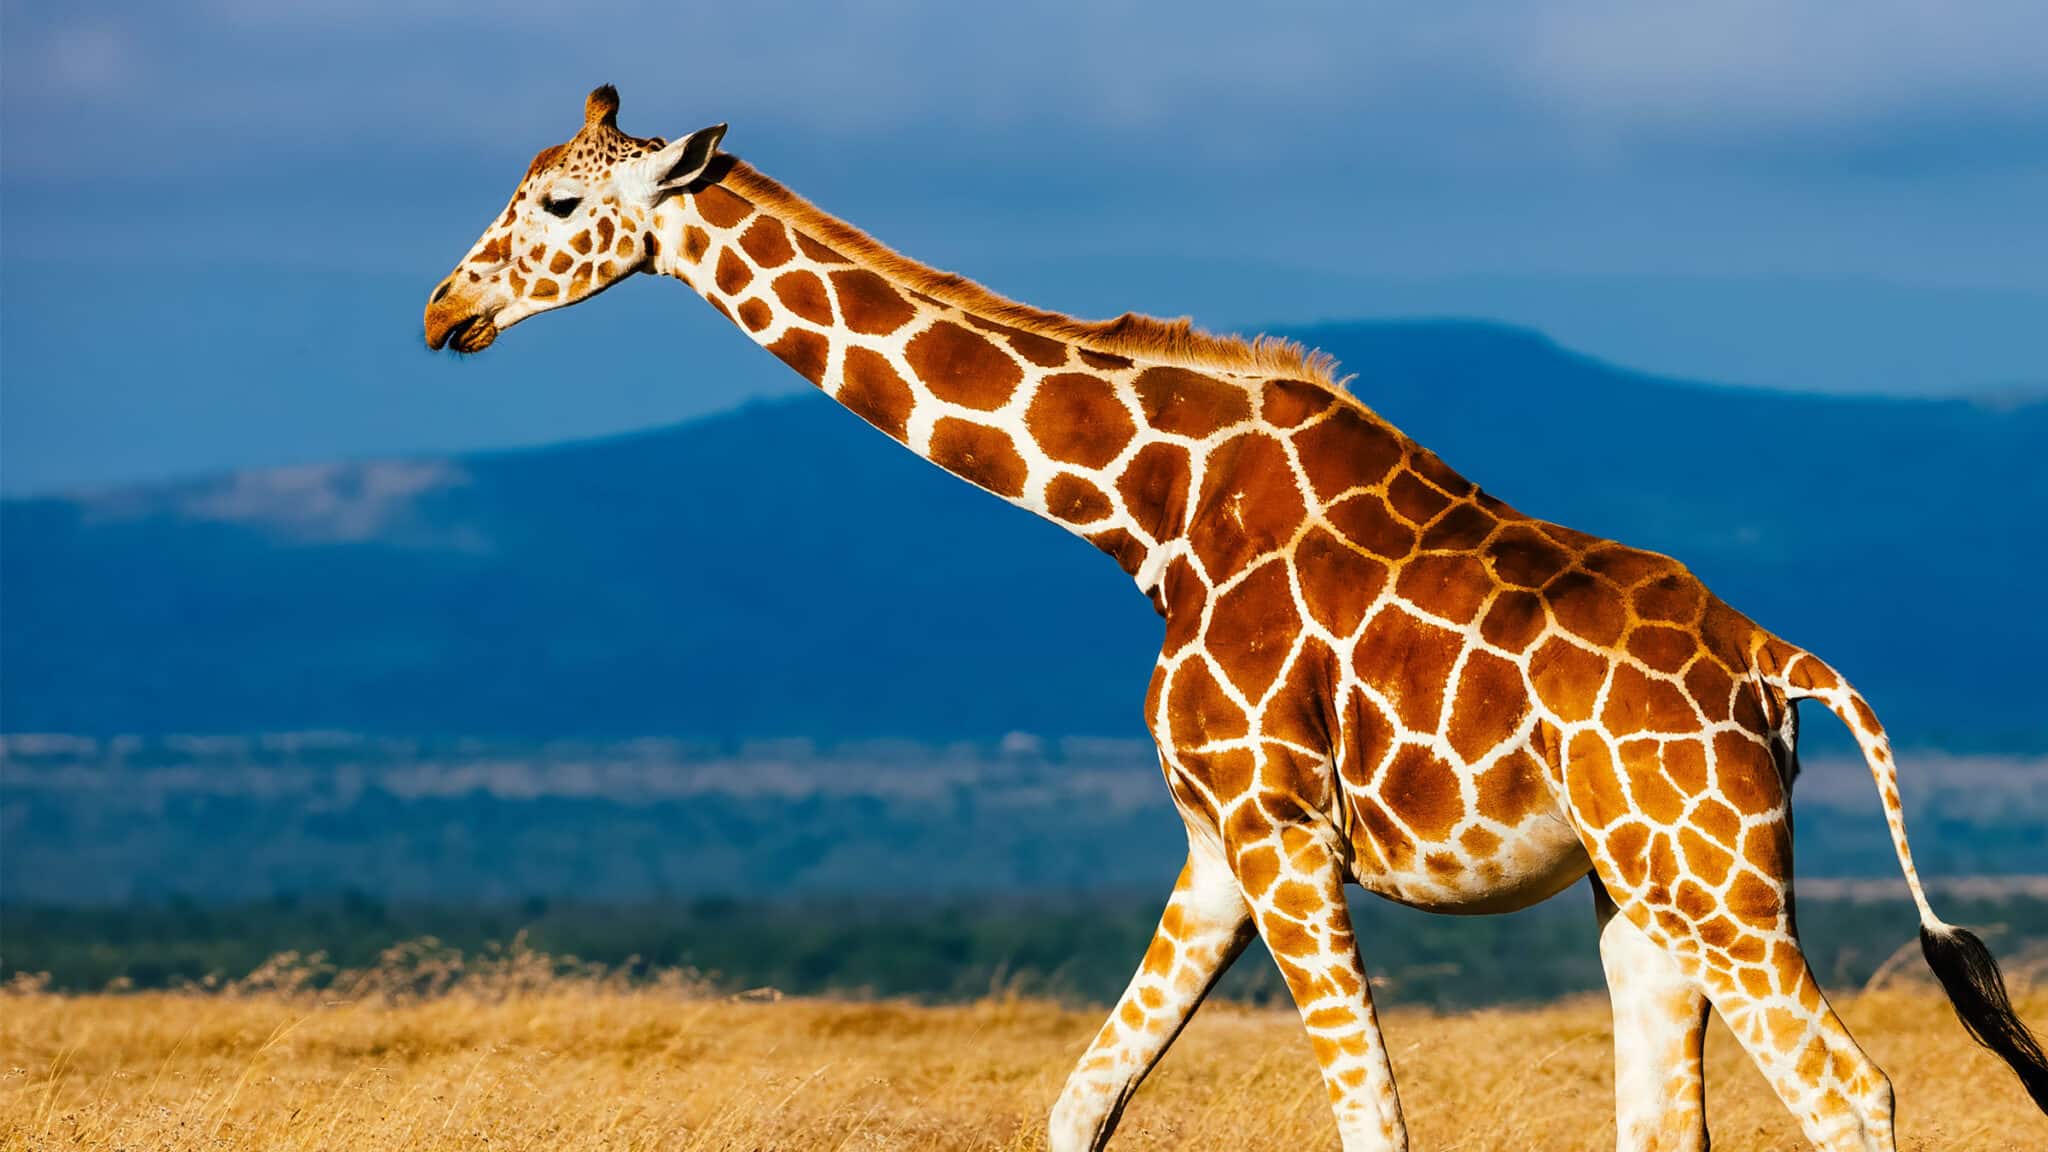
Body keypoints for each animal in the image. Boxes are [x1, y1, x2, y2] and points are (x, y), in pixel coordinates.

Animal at [423, 87, 2048, 1151]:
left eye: (559, 204)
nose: (444, 313)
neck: (1148, 512)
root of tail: (1779, 666)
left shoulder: (1281, 832)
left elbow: (1370, 1112)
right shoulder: (1211, 845)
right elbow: (1081, 1099)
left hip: (1715, 880)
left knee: (1850, 1092)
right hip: (1645, 892)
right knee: (1670, 1118)